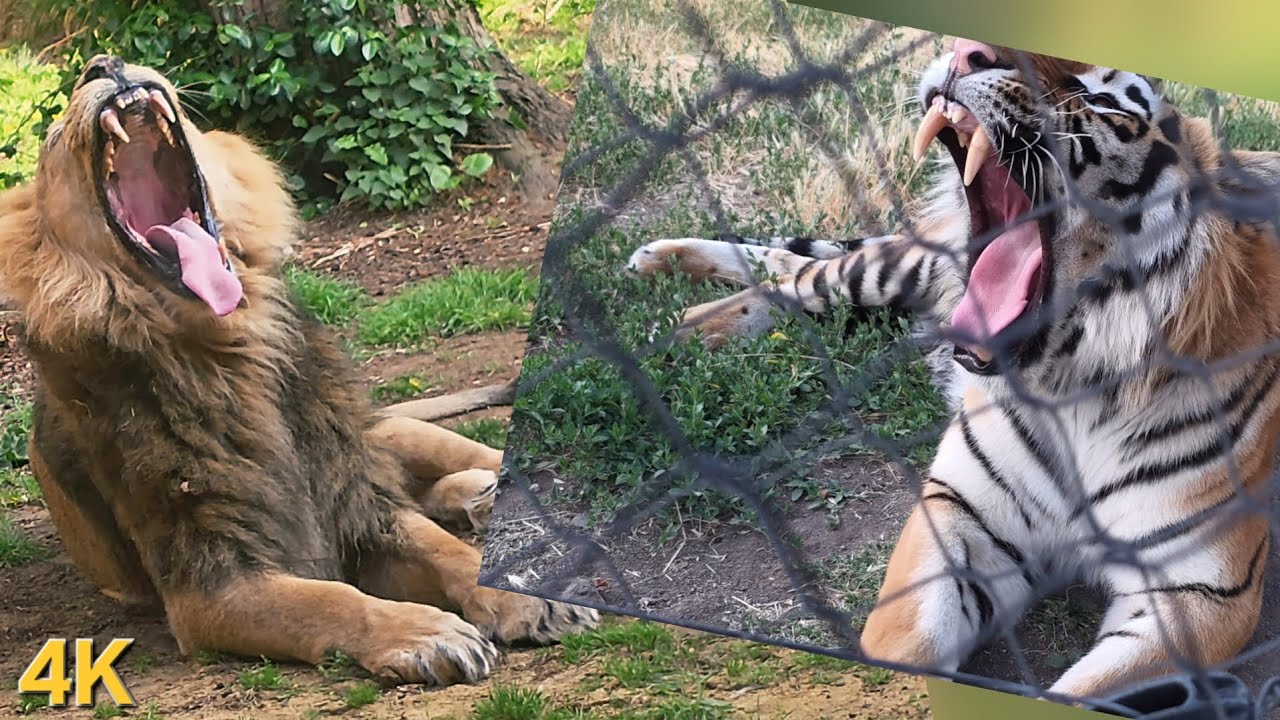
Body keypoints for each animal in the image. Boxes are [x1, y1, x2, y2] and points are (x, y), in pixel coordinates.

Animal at [0, 55, 597, 686]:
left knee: (478, 460)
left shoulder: (358, 500)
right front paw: (426, 632)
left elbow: (447, 551)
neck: (231, 344)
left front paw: (529, 599)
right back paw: (477, 499)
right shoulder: (208, 585)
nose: (104, 63)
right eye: (55, 140)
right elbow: (330, 601)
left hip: (390, 431)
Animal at [625, 37, 1280, 700]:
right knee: (806, 277)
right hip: (898, 267)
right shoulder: (957, 510)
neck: (1076, 382)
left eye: (1101, 97)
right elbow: (904, 644)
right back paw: (685, 309)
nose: (968, 52)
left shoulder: (1203, 592)